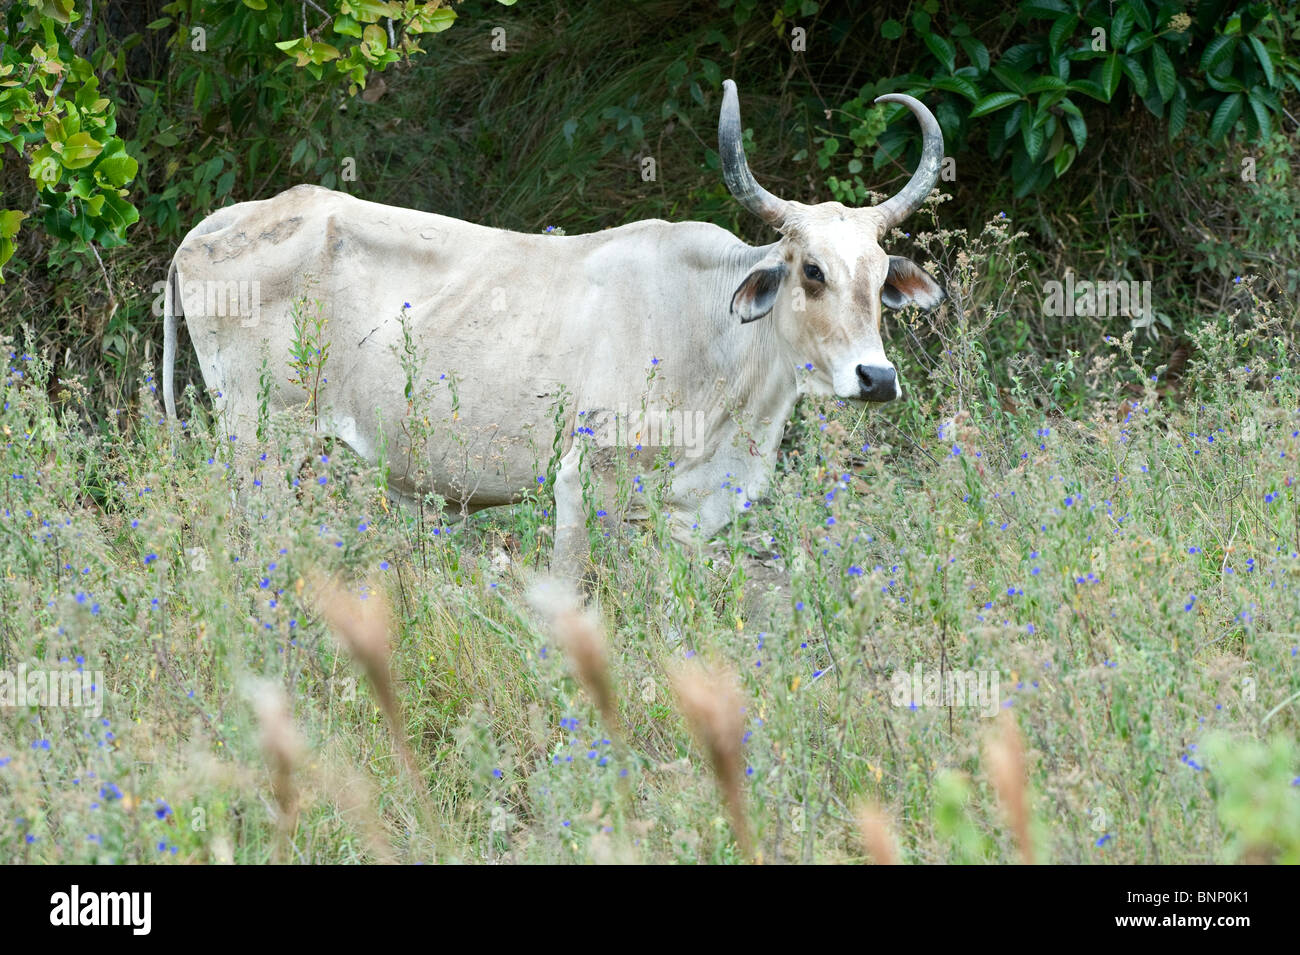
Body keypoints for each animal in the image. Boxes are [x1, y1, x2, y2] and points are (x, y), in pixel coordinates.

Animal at [163, 80, 945, 578]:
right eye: (811, 269)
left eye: (880, 273)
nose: (877, 377)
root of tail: (228, 219)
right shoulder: (582, 481)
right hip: (257, 442)